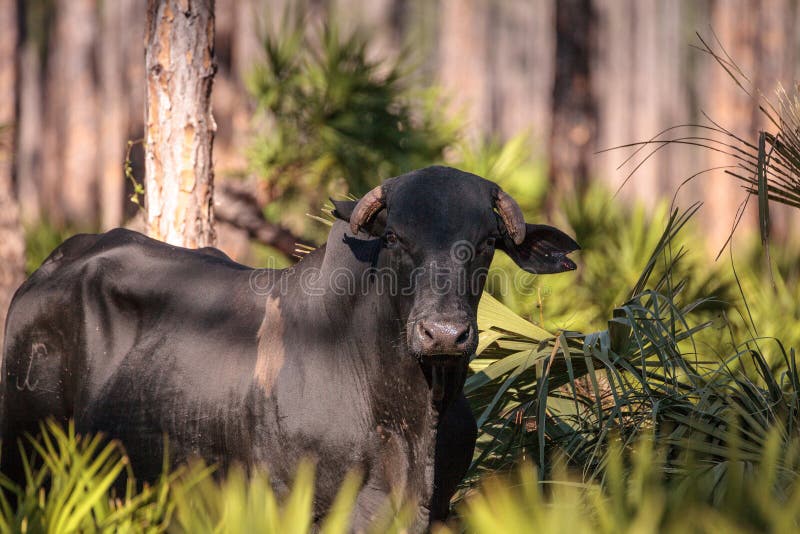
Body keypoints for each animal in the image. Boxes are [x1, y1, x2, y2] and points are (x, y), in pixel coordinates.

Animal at [1, 166, 578, 531]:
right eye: (395, 237)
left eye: (486, 242)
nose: (443, 333)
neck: (411, 415)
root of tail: (54, 262)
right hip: (25, 460)